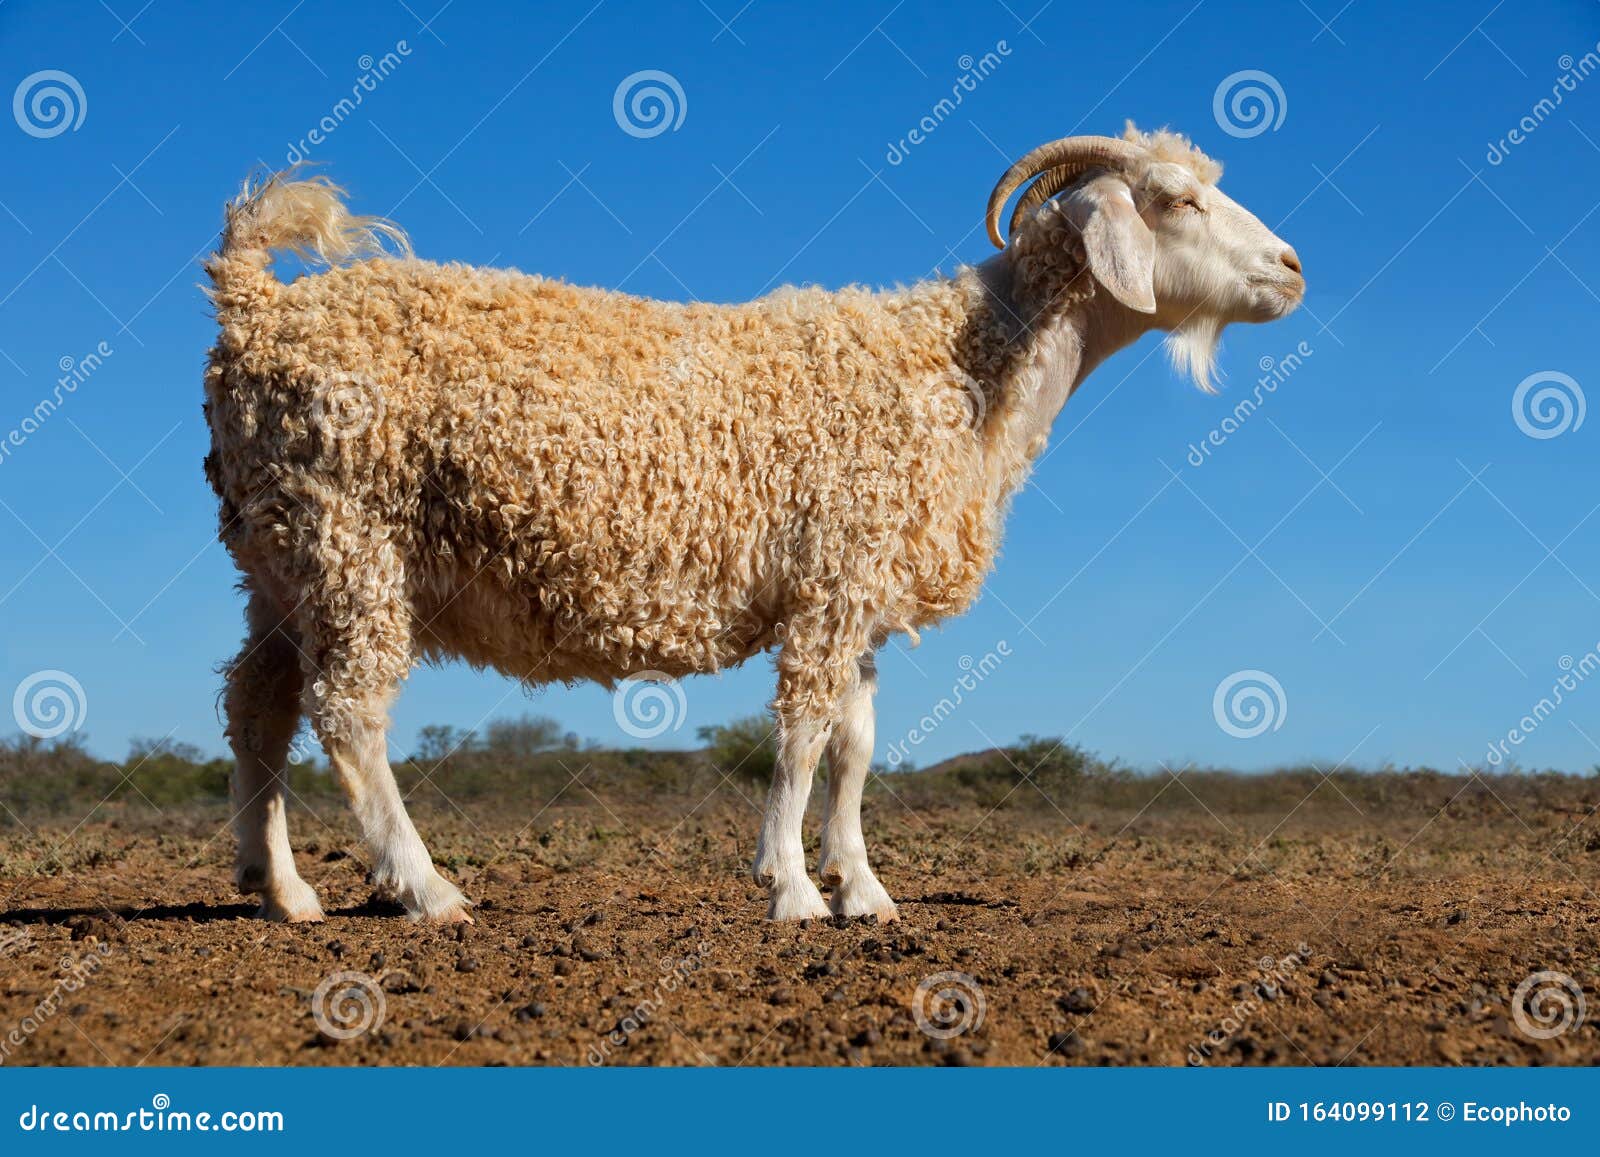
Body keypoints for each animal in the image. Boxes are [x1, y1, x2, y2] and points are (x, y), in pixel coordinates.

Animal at [204, 123, 1303, 925]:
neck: (958, 368)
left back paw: (281, 889)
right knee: (346, 710)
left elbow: (856, 744)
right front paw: (793, 888)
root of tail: (254, 303)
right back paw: (425, 887)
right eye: (1177, 198)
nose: (1292, 267)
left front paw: (865, 890)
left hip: (280, 556)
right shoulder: (829, 580)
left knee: (258, 700)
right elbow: (804, 737)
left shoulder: (860, 594)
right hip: (351, 541)